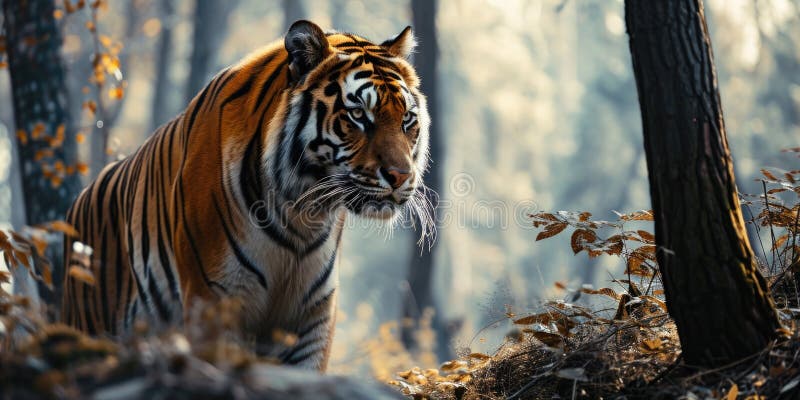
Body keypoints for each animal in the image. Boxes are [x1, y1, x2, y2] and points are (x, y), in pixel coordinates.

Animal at [61, 20, 432, 371]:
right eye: (357, 116)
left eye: (407, 120)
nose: (400, 176)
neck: (301, 212)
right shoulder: (214, 300)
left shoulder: (311, 318)